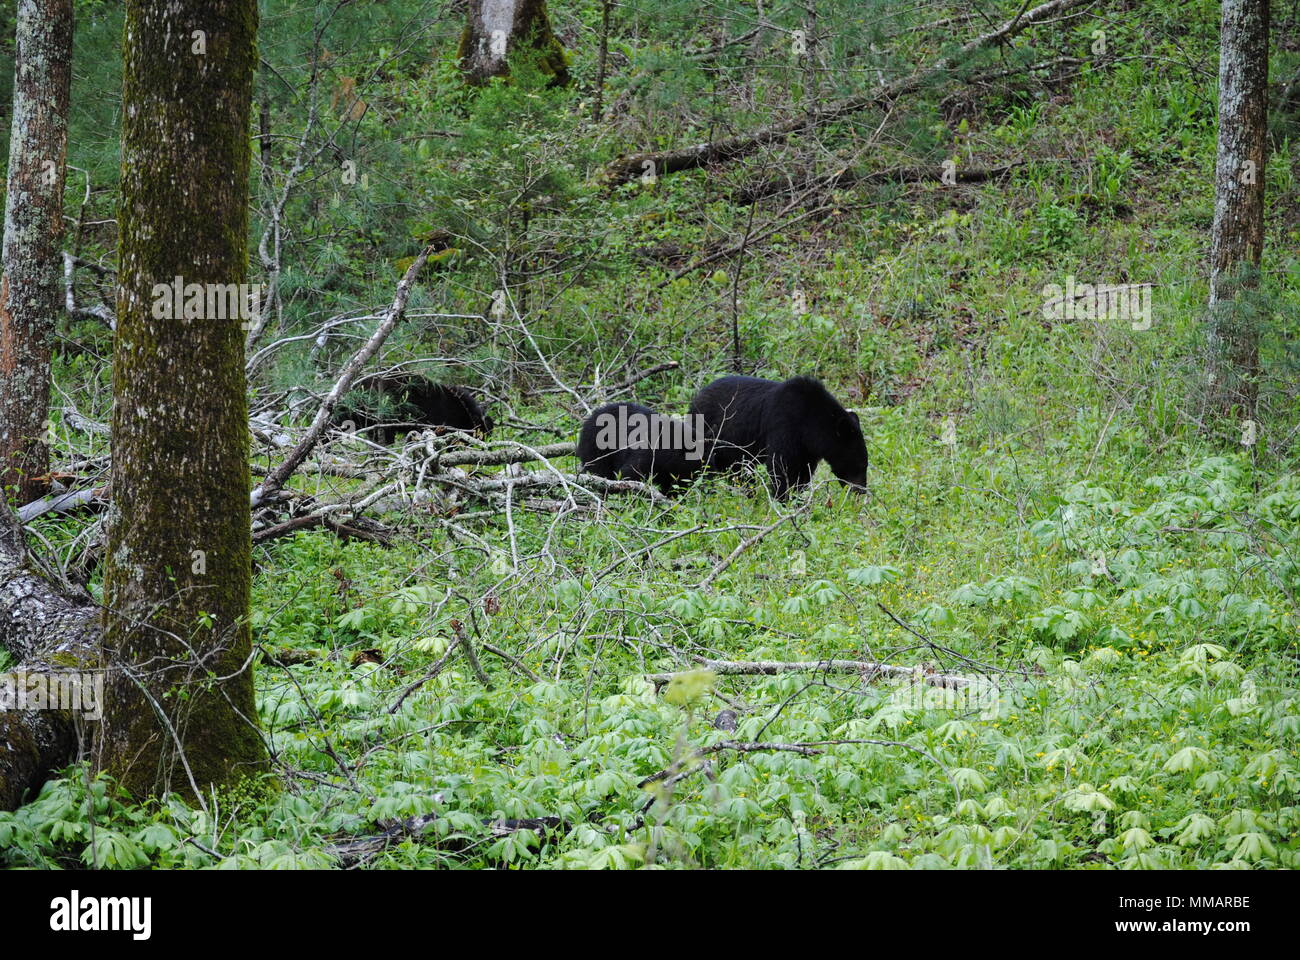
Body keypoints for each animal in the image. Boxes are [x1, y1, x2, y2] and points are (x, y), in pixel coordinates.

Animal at [688, 375, 867, 498]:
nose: (861, 491)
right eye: (860, 465)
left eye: (865, 464)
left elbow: (803, 471)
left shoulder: (807, 448)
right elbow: (781, 465)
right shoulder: (785, 425)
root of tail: (695, 398)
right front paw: (783, 499)